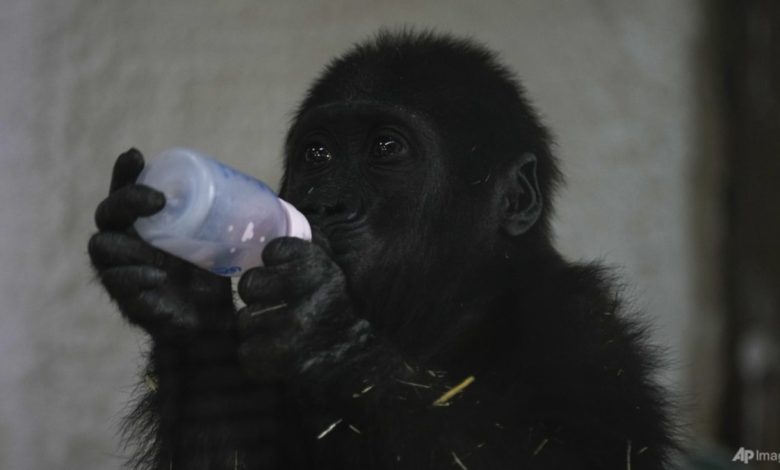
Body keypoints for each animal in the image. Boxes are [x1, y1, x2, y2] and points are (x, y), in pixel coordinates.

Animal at [88, 31, 676, 468]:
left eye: (386, 148)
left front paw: (325, 336)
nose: (326, 205)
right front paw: (183, 297)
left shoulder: (585, 334)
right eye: (318, 154)